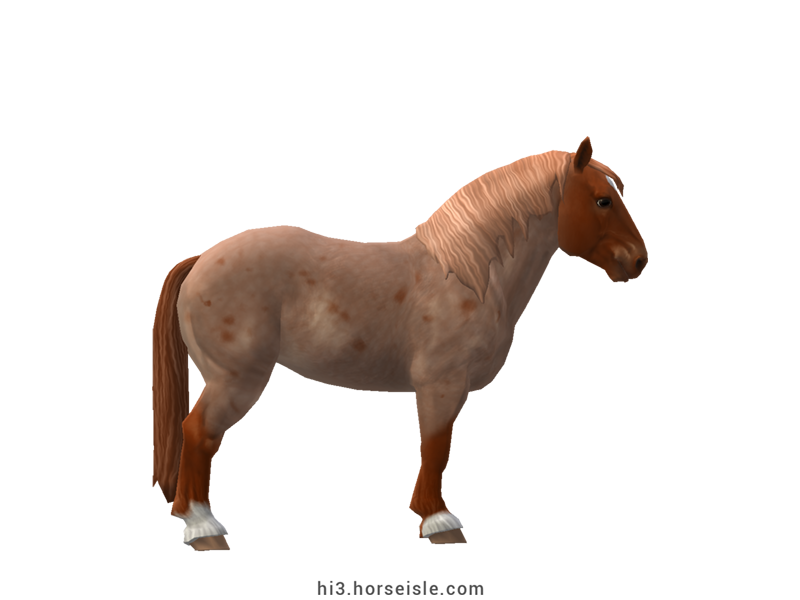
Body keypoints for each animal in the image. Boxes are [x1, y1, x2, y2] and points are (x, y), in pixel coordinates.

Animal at [152, 140, 648, 543]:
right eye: (603, 199)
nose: (637, 260)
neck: (470, 276)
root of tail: (201, 262)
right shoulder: (441, 382)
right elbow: (436, 446)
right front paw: (436, 519)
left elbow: (437, 445)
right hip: (232, 377)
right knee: (197, 432)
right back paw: (201, 524)